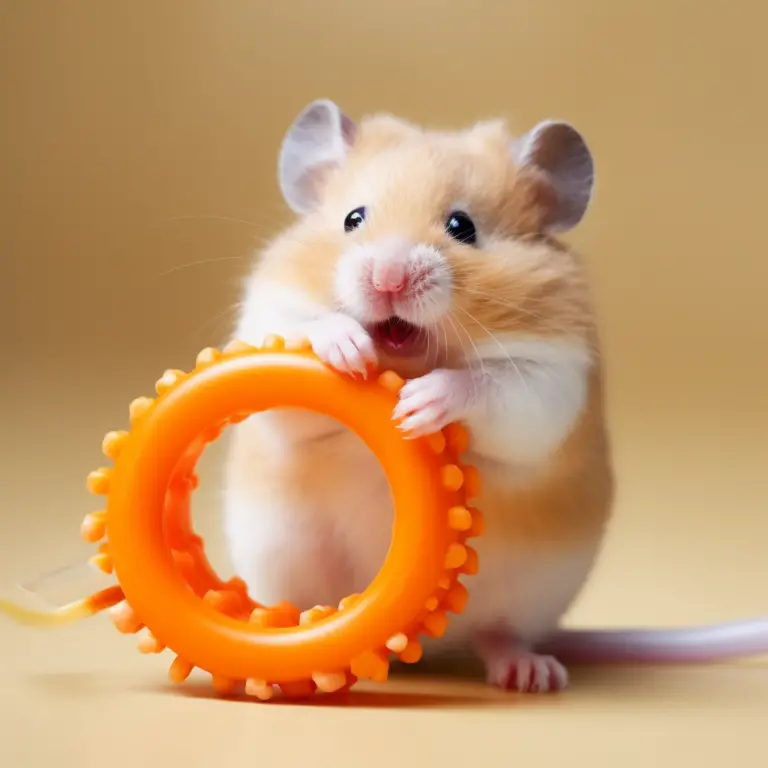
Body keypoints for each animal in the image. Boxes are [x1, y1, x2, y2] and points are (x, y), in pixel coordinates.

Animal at [222, 100, 768, 694]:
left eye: (463, 227)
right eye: (353, 219)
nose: (388, 278)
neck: (411, 356)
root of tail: (420, 647)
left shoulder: (549, 378)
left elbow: (489, 390)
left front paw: (419, 405)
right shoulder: (267, 319)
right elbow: (297, 354)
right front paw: (347, 349)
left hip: (529, 591)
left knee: (497, 636)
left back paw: (531, 674)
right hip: (280, 556)